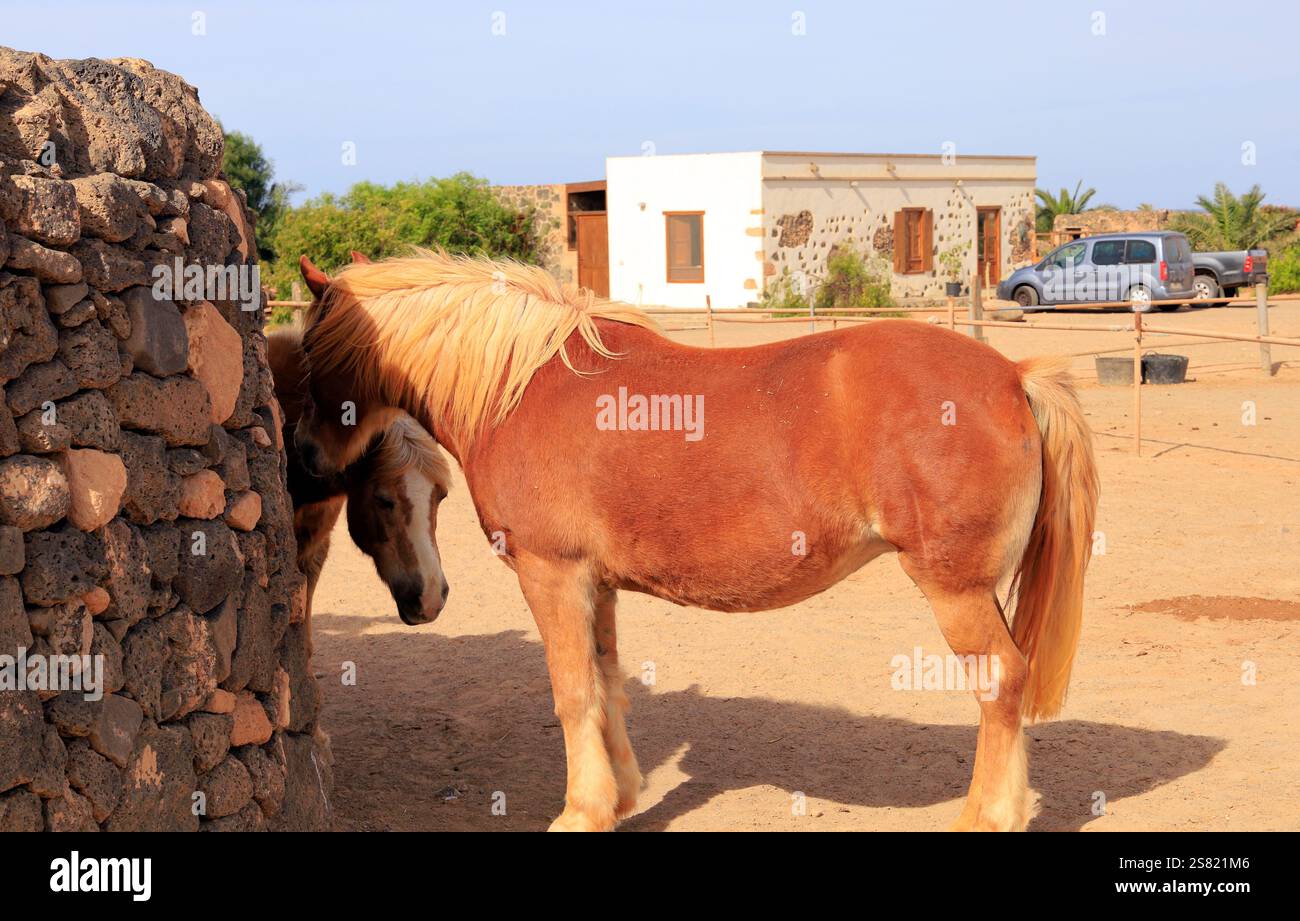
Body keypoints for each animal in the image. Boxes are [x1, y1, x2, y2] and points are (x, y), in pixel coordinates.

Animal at [293, 249, 1100, 832]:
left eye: (308, 358)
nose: (303, 458)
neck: (520, 386)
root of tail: (1013, 376)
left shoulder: (550, 573)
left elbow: (571, 691)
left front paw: (579, 811)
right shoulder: (595, 583)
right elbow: (607, 682)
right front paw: (618, 798)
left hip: (955, 589)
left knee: (1001, 684)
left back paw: (986, 817)